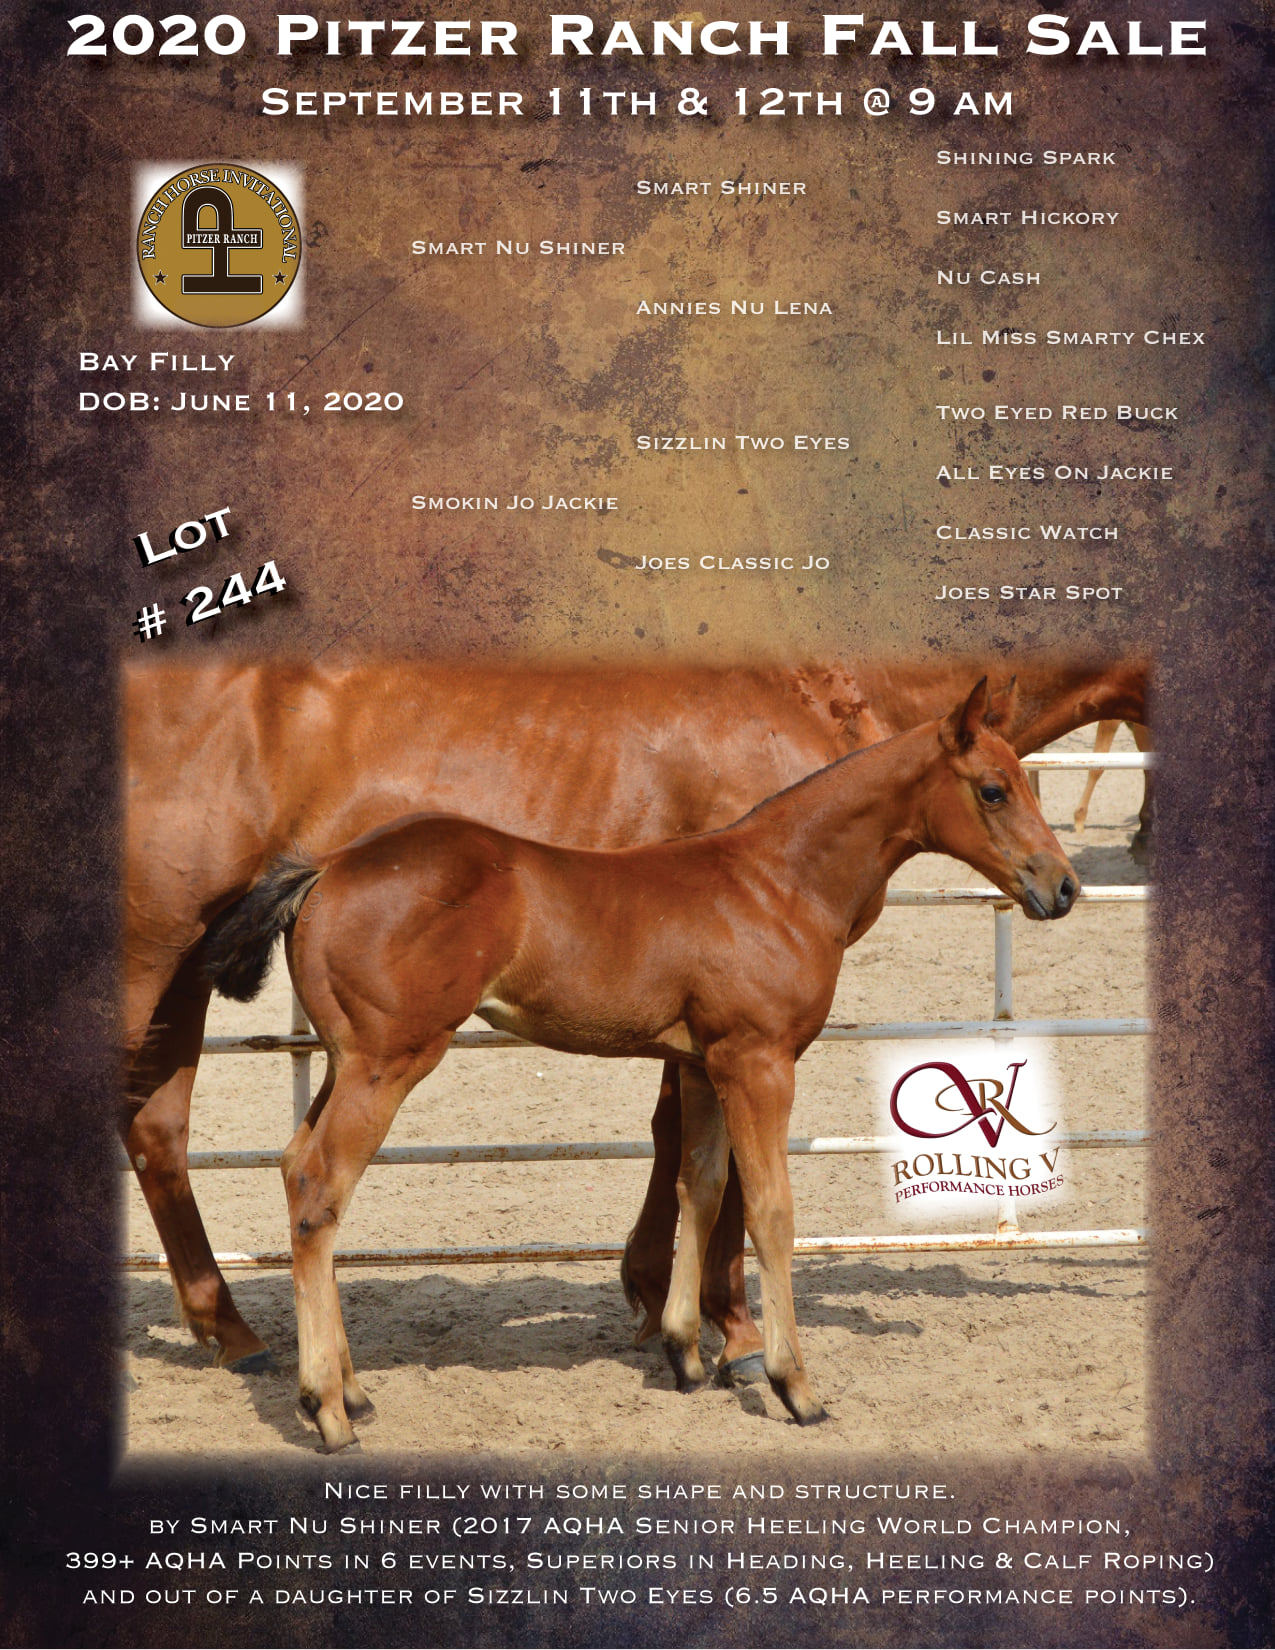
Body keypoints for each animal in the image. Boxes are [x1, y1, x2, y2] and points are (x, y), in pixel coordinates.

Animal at [123, 654, 1143, 1375]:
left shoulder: (695, 1046)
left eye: (1030, 780)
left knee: (174, 1131)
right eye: (993, 789)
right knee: (266, 1165)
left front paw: (676, 1317)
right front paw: (743, 1342)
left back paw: (245, 1338)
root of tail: (322, 872)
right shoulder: (751, 1053)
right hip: (220, 990)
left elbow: (689, 1163)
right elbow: (748, 1191)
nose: (1061, 886)